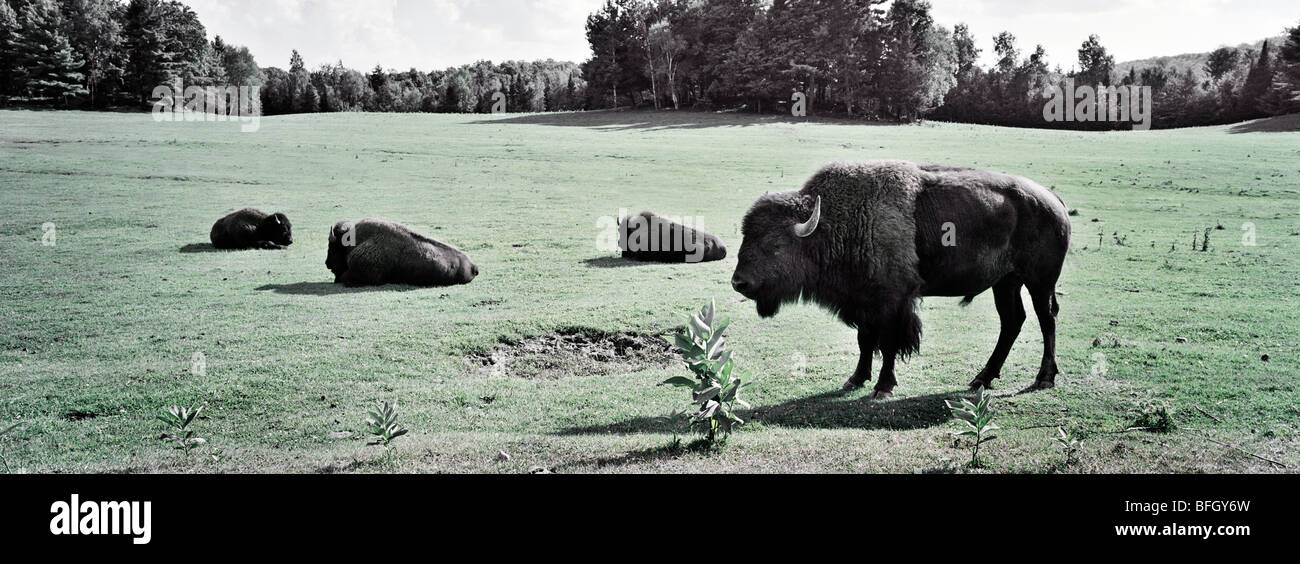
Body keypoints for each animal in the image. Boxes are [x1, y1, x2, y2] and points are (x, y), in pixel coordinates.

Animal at [731, 160, 1071, 398]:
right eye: (746, 236)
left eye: (775, 245)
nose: (739, 283)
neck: (836, 223)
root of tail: (1054, 200)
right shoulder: (865, 301)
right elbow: (865, 341)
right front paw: (855, 379)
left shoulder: (893, 302)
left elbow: (889, 342)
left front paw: (883, 386)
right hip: (1006, 282)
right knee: (1012, 321)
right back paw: (981, 379)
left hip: (1039, 281)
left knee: (1046, 318)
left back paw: (1043, 378)